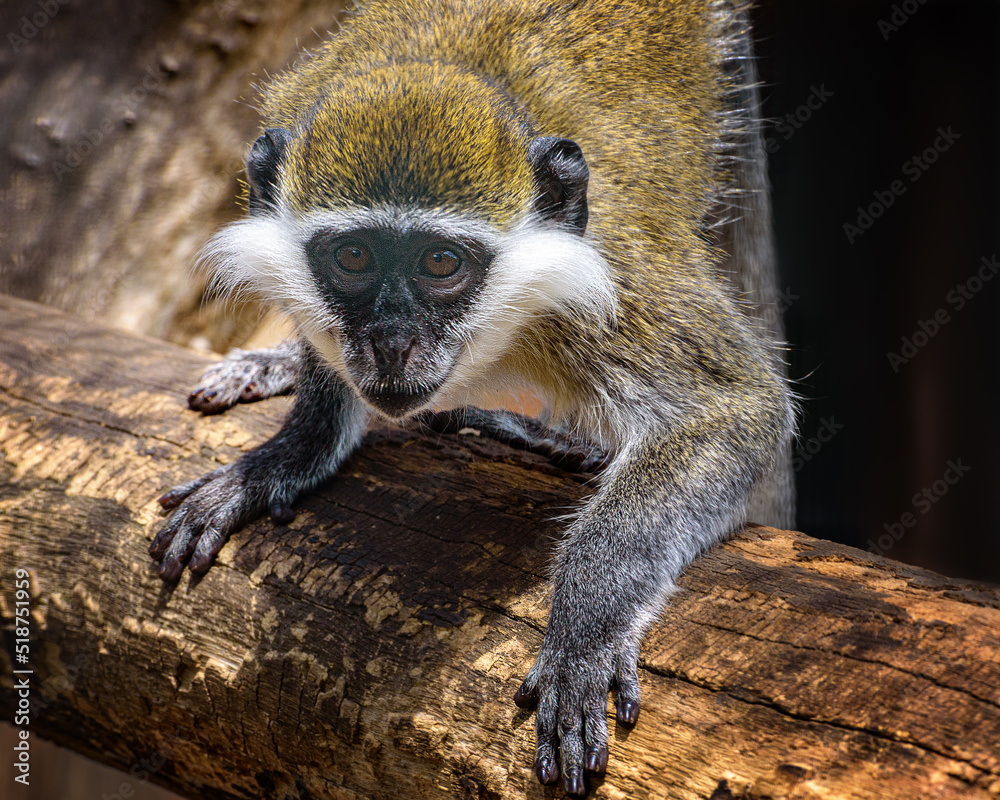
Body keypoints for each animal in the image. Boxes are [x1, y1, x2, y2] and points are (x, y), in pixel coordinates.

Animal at [149, 1, 795, 795]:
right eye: (354, 256)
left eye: (441, 263)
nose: (392, 342)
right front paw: (283, 455)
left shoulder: (618, 277)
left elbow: (738, 407)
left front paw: (586, 622)